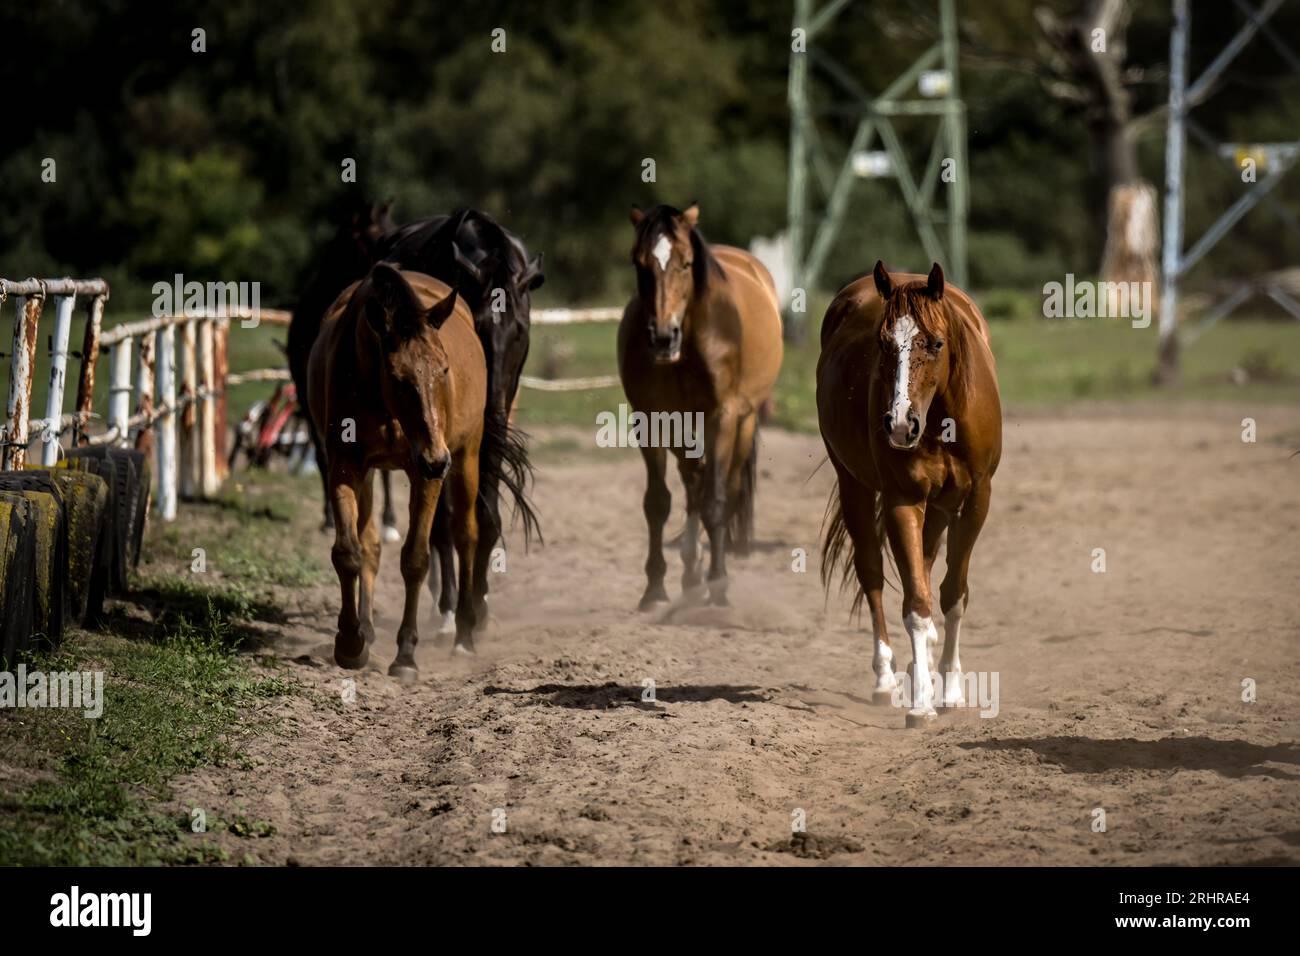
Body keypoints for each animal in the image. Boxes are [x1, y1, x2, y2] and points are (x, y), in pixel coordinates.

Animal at [306, 263, 486, 675]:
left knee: (466, 534)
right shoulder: (345, 466)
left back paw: (465, 634)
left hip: (467, 454)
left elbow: (416, 558)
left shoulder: (425, 473)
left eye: (444, 369)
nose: (437, 459)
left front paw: (406, 653)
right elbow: (349, 551)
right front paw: (350, 641)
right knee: (370, 542)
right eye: (399, 378)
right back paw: (368, 629)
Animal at [380, 208, 542, 633]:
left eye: (520, 331)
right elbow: (444, 522)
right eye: (478, 327)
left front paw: (480, 603)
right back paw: (445, 600)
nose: (493, 406)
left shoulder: (487, 433)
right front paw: (453, 608)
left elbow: (485, 515)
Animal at [617, 202, 783, 609]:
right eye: (639, 262)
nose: (663, 337)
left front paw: (719, 586)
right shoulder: (652, 419)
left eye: (686, 263)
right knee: (693, 477)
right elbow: (657, 502)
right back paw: (690, 573)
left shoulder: (722, 417)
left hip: (743, 422)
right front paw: (654, 588)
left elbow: (717, 500)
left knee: (726, 484)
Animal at [818, 260, 1001, 727]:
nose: (900, 425)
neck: (940, 420)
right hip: (854, 487)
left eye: (935, 343)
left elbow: (953, 593)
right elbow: (916, 603)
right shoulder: (902, 498)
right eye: (883, 344)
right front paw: (921, 703)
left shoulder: (976, 500)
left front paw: (950, 689)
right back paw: (886, 678)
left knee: (927, 561)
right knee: (872, 573)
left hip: (939, 507)